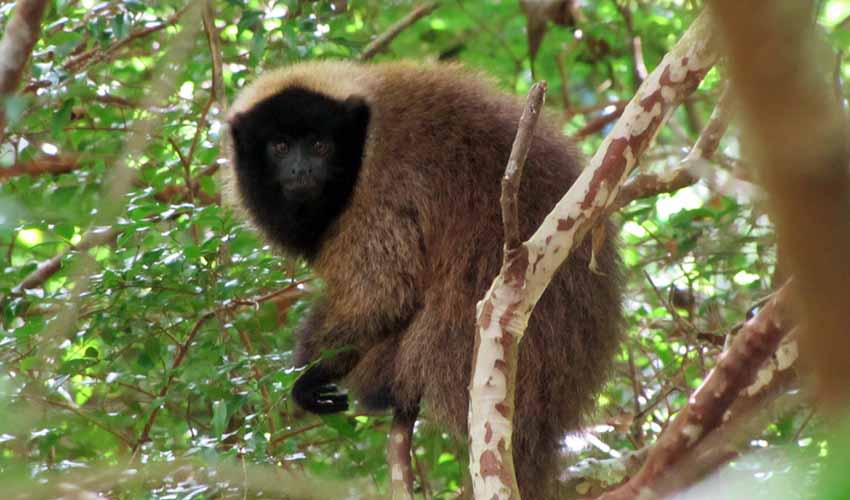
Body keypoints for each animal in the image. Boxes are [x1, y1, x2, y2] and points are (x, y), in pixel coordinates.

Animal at [227, 60, 622, 499]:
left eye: (319, 145)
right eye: (279, 147)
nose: (301, 168)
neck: (362, 146)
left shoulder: (380, 196)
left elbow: (382, 294)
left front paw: (310, 377)